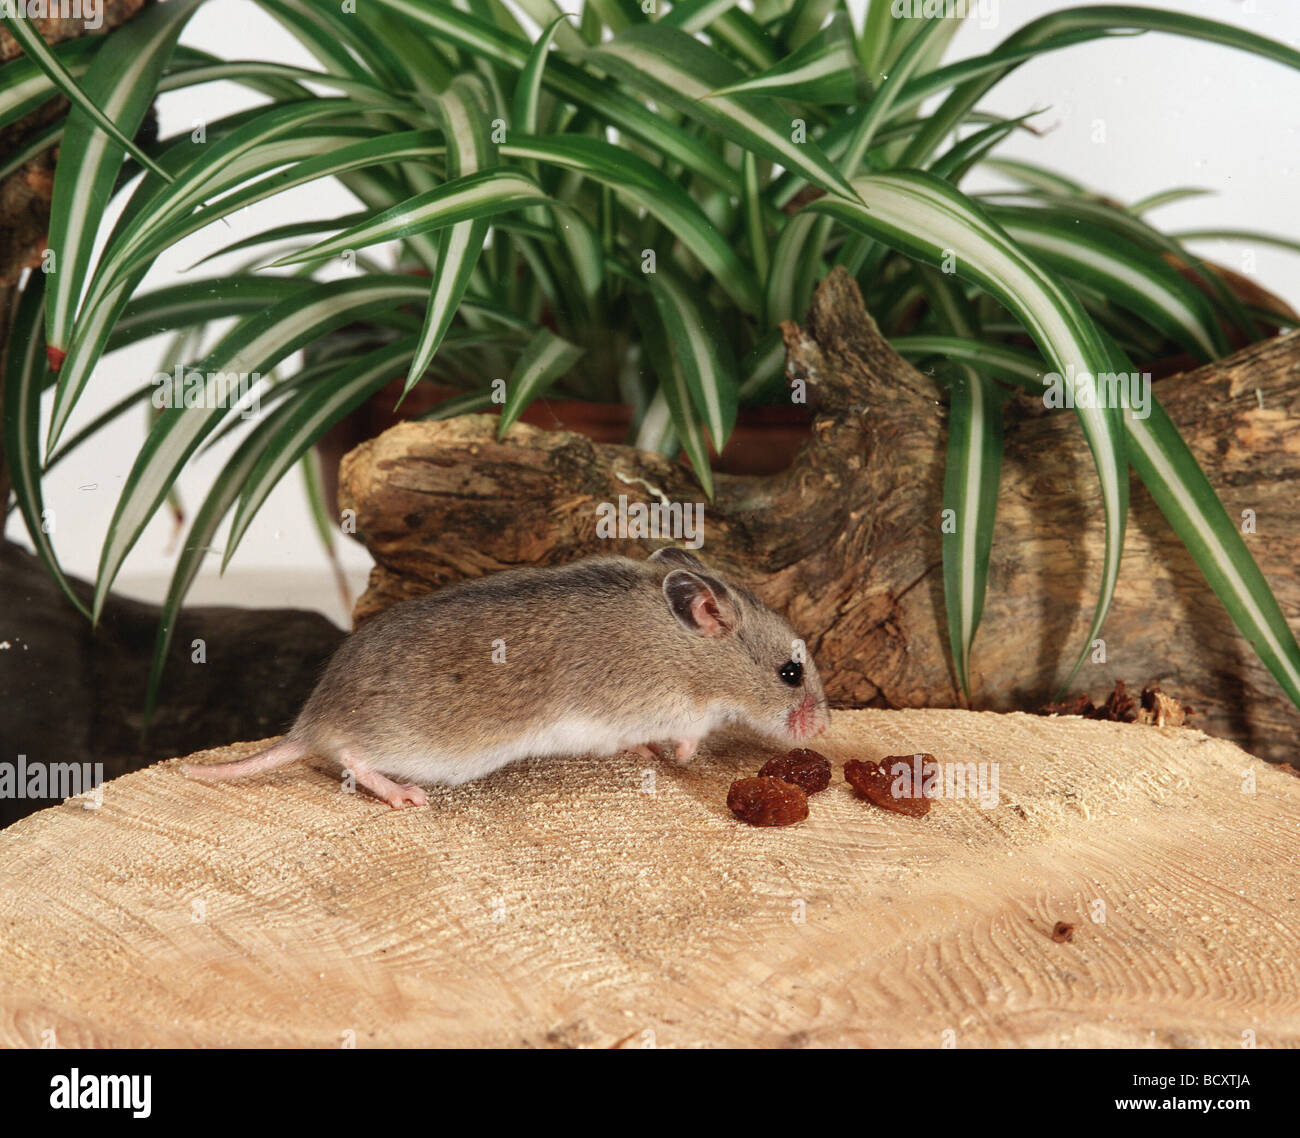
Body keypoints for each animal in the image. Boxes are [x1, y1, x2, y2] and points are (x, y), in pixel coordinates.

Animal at [183, 546, 830, 807]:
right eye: (790, 672)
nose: (823, 727)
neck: (692, 652)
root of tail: (307, 725)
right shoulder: (678, 708)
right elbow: (689, 740)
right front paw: (677, 757)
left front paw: (646, 755)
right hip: (426, 751)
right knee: (352, 757)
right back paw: (402, 796)